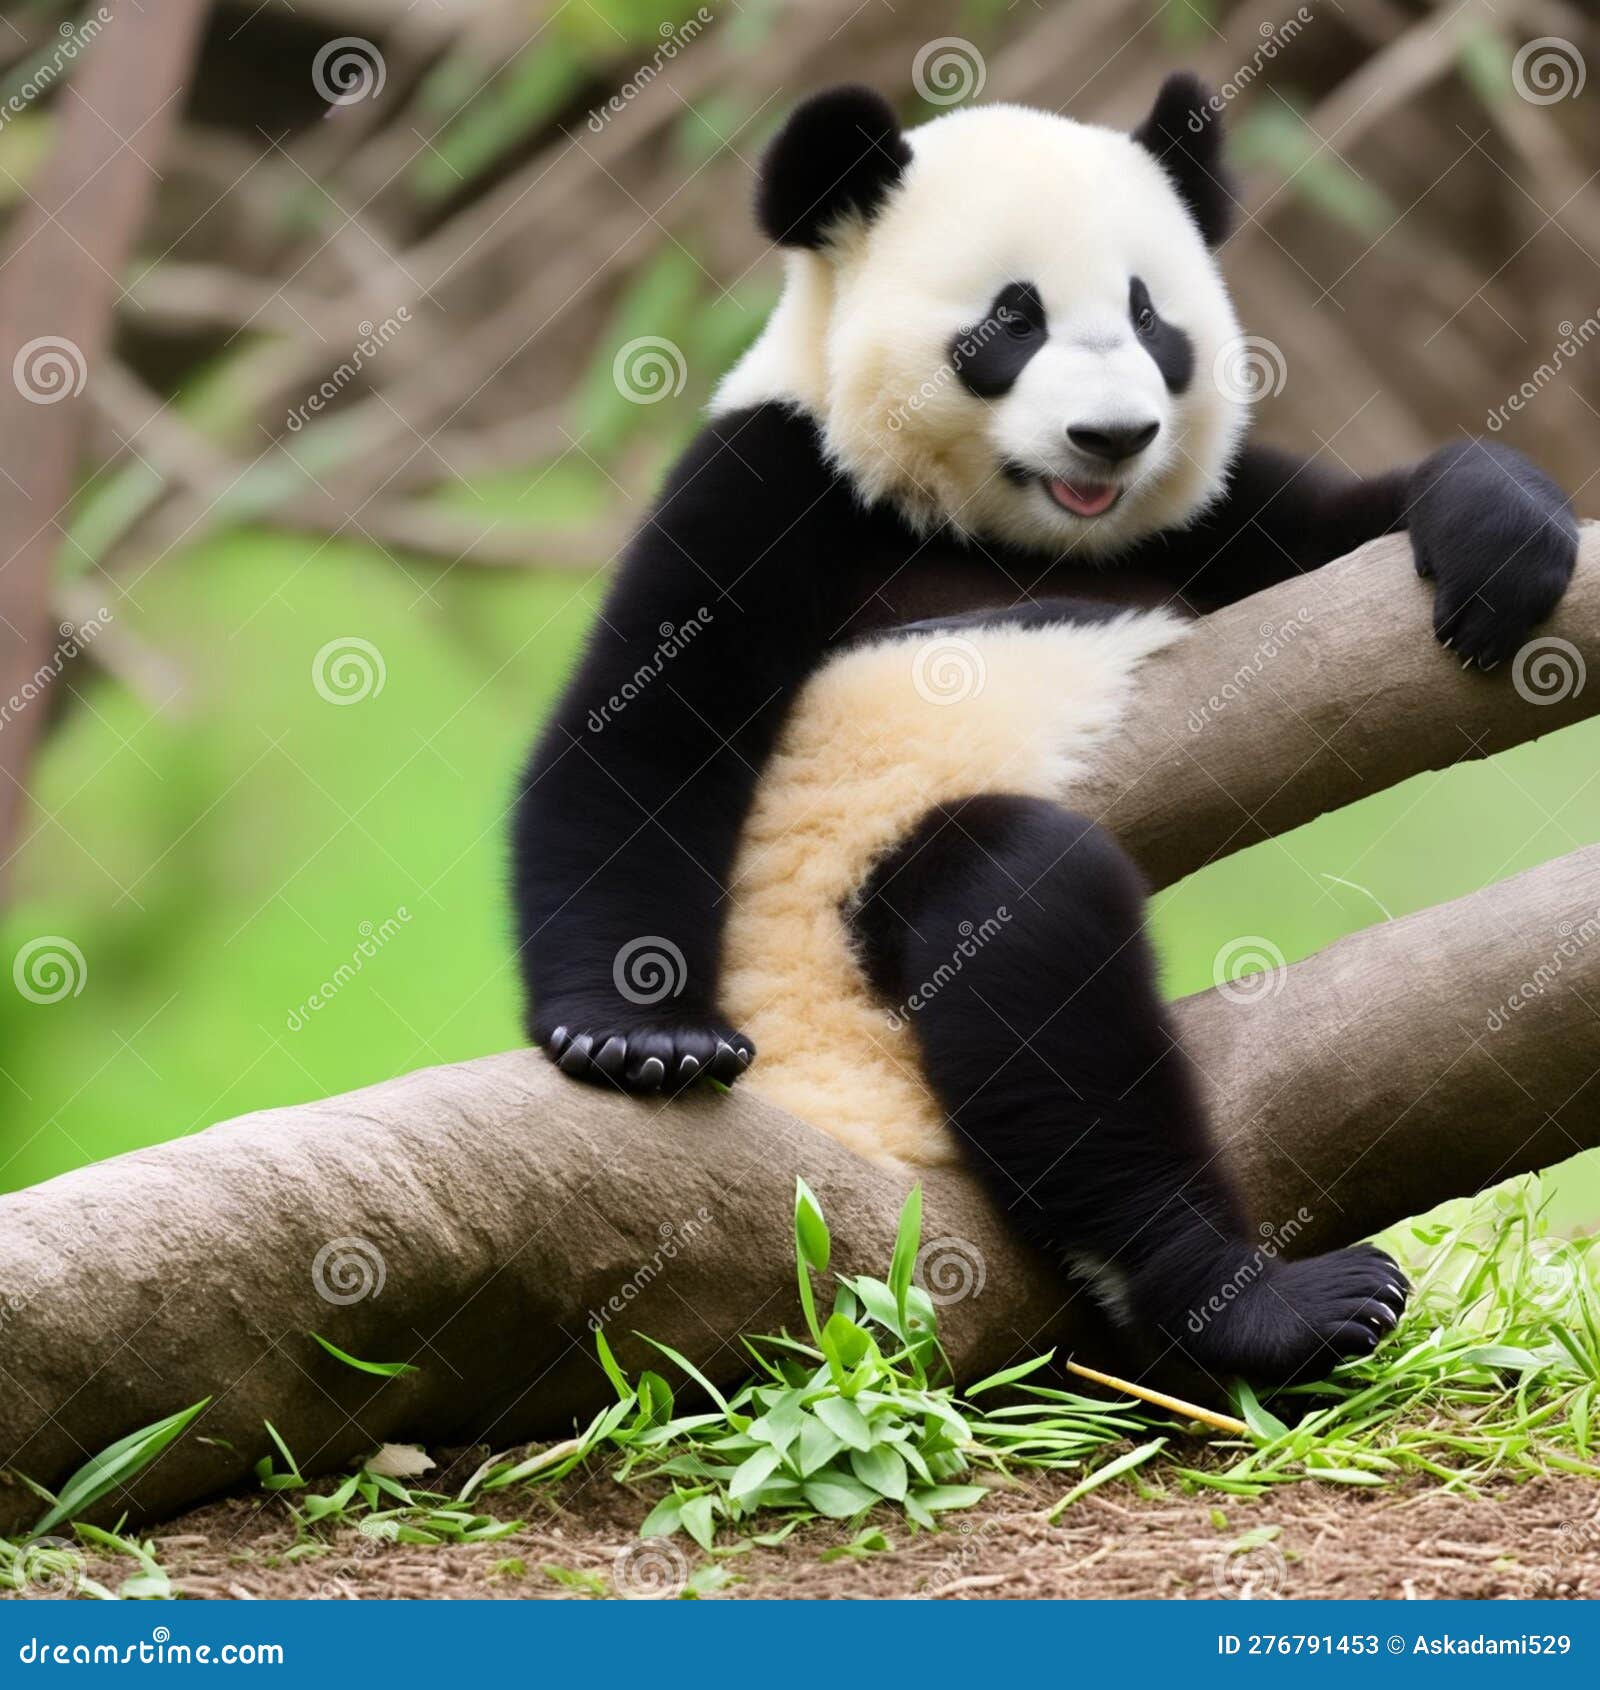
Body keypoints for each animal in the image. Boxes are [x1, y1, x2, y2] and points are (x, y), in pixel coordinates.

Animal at [511, 76, 1578, 1383]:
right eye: (1009, 321)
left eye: (1150, 317)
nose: (1111, 437)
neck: (1007, 529)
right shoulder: (773, 476)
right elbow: (648, 723)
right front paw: (634, 1038)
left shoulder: (1192, 523)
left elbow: (1334, 524)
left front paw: (1496, 529)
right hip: (853, 980)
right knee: (1025, 941)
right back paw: (1262, 1305)